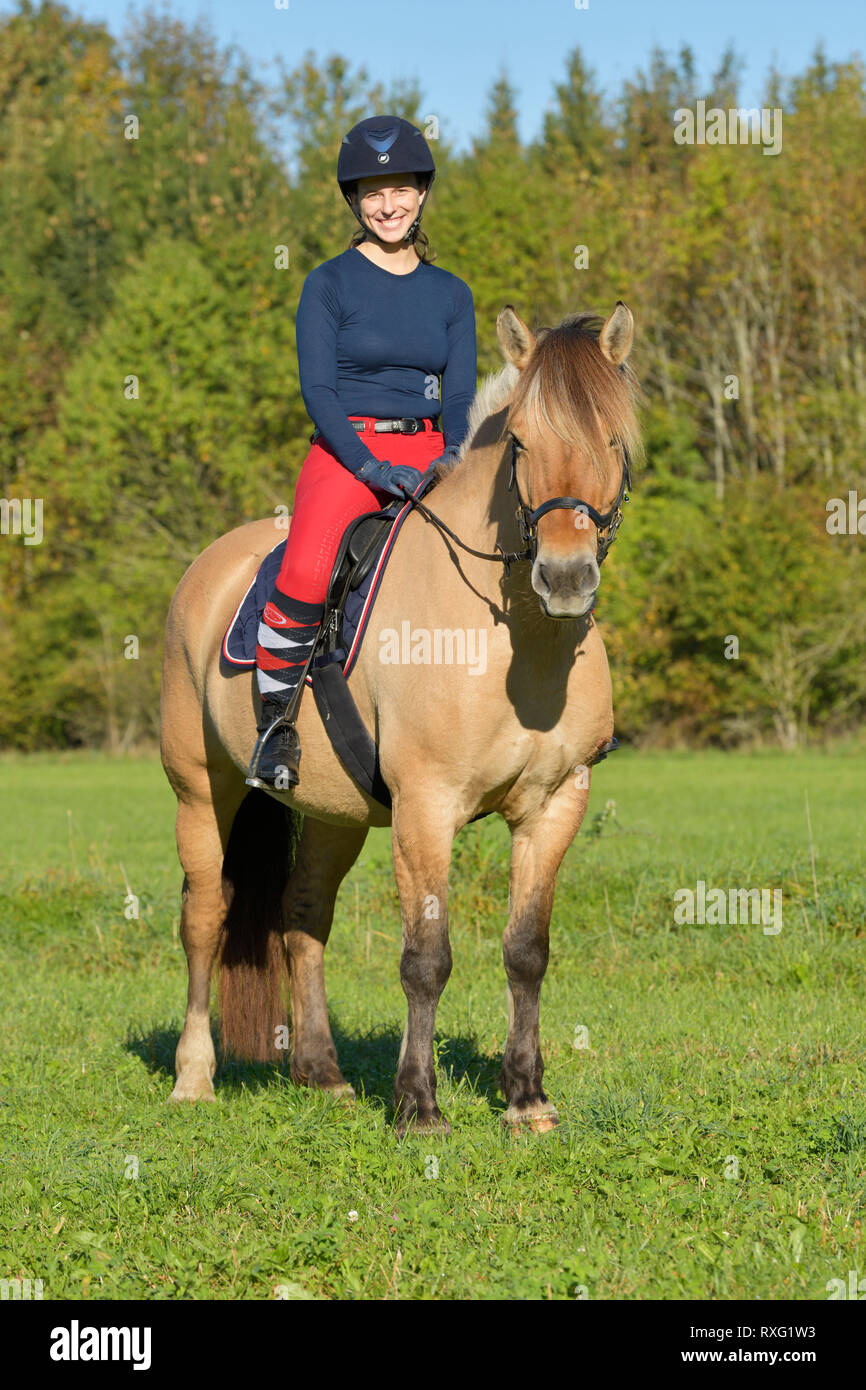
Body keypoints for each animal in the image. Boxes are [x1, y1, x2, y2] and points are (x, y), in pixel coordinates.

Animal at [159, 301, 642, 1135]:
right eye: (521, 442)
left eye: (613, 440)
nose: (566, 578)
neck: (517, 643)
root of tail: (208, 568)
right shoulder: (426, 805)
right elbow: (427, 958)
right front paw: (418, 1104)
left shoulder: (554, 805)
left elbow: (527, 950)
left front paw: (527, 1100)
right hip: (201, 790)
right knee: (205, 916)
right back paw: (195, 1077)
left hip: (333, 813)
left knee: (302, 915)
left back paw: (321, 1073)